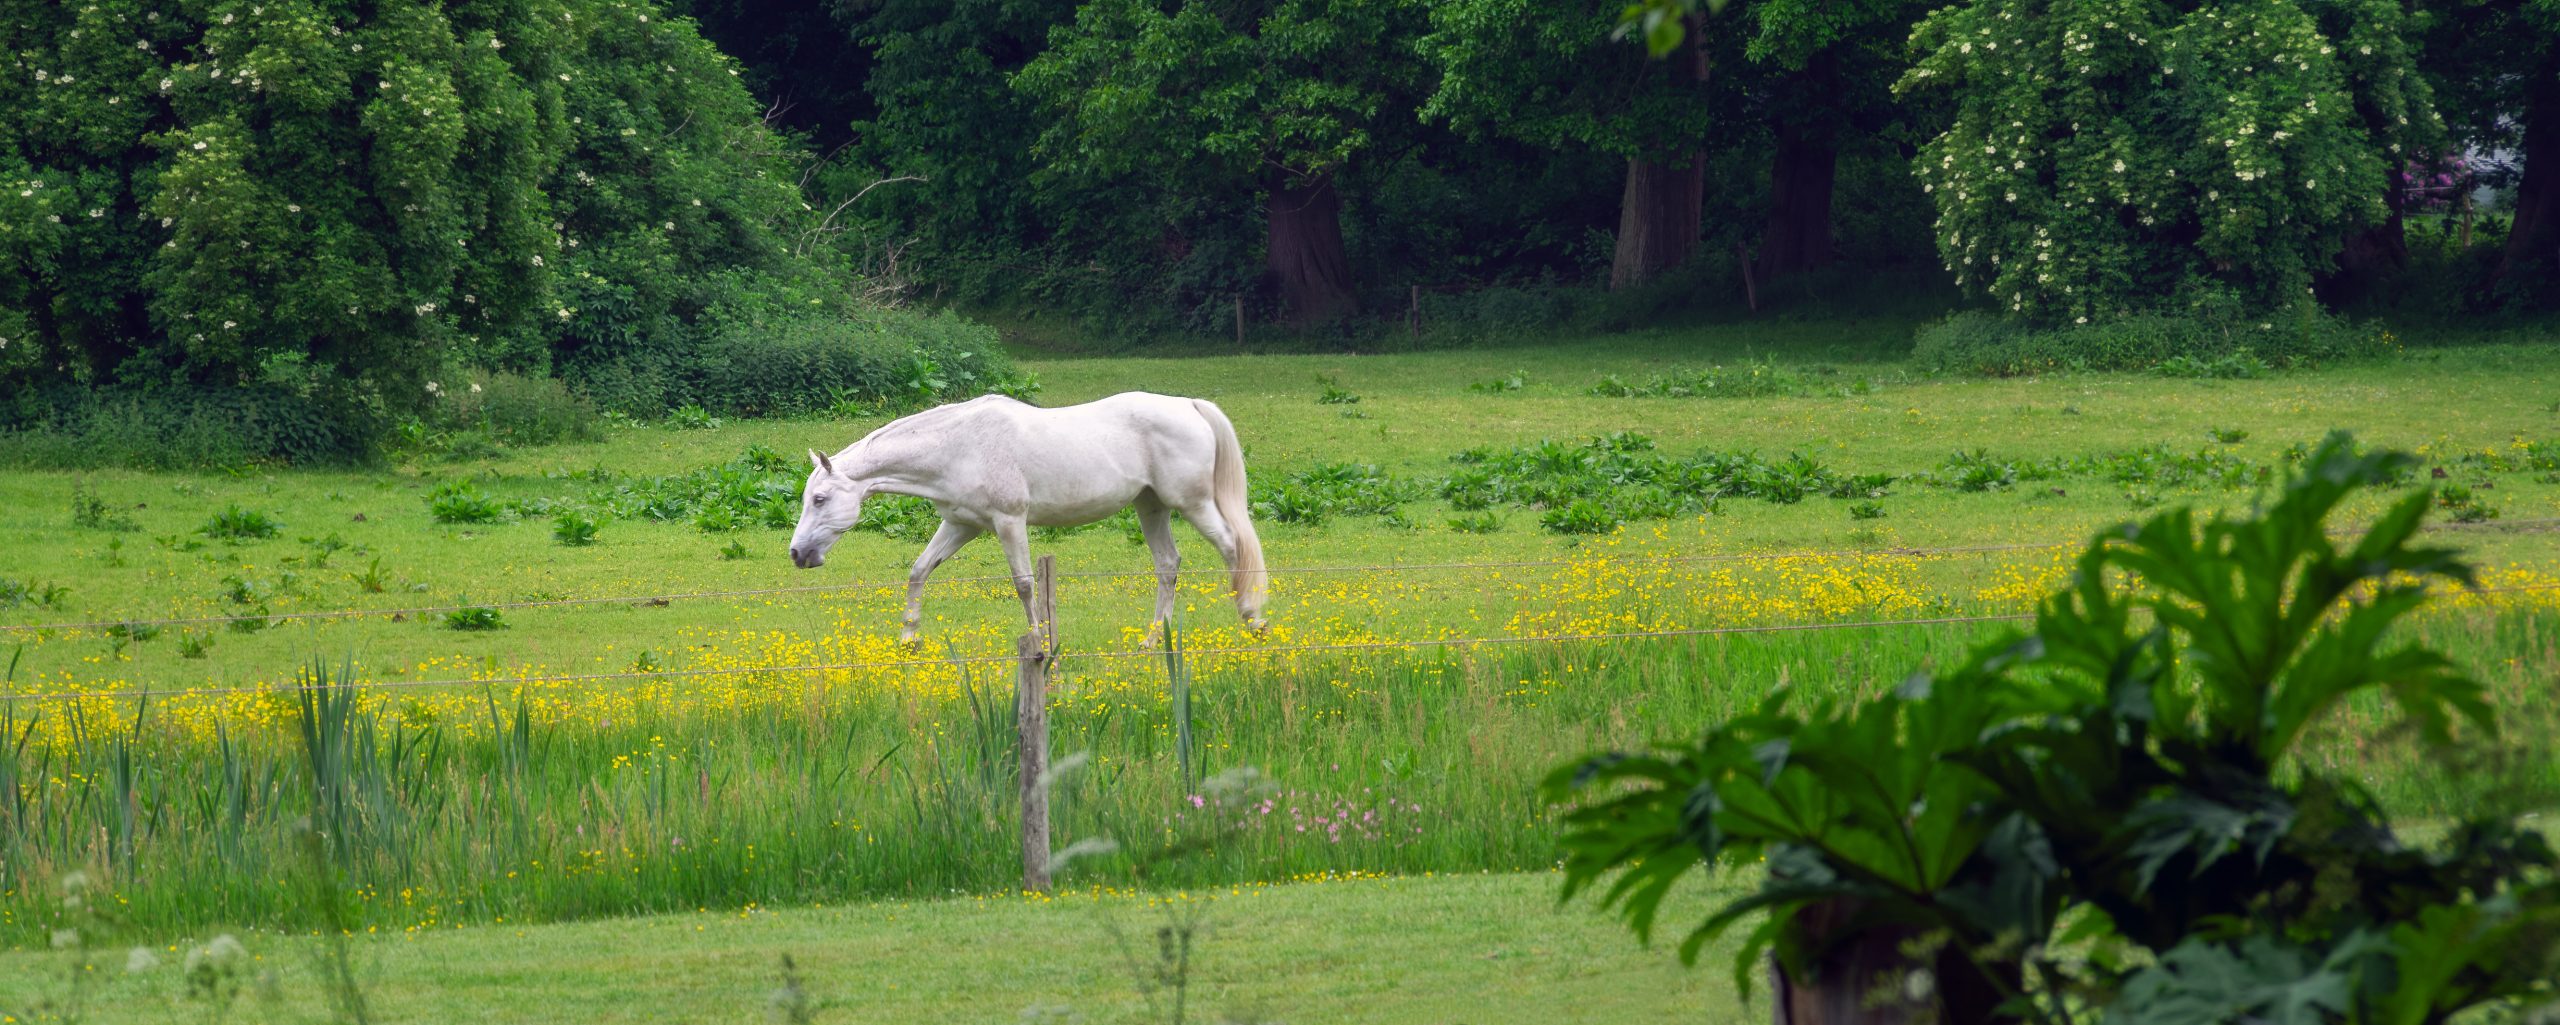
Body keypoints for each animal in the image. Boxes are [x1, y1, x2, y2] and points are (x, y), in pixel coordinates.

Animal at [787, 391, 1268, 645]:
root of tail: (1189, 405)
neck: (959, 446)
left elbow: (1023, 584)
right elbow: (920, 570)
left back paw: (1252, 619)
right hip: (1151, 508)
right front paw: (909, 638)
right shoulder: (961, 525)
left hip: (1193, 504)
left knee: (1231, 548)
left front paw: (1039, 642)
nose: (796, 553)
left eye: (821, 499)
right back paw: (1153, 640)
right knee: (1168, 565)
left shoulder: (1009, 522)